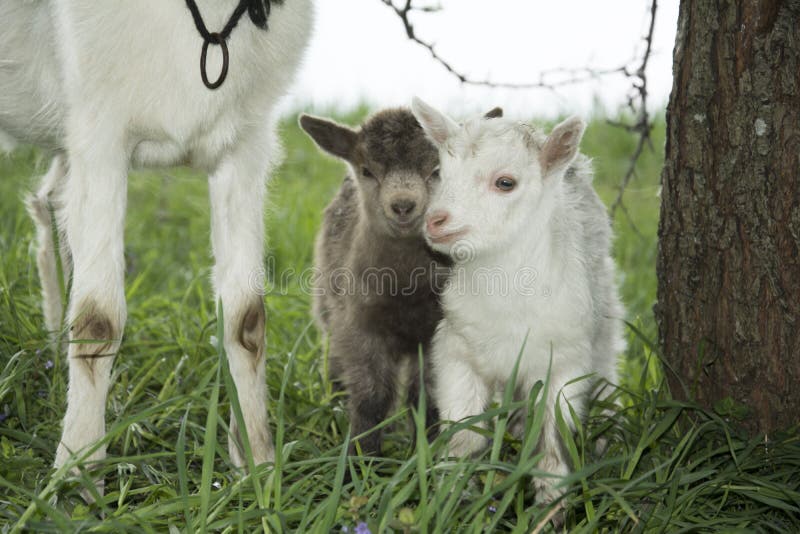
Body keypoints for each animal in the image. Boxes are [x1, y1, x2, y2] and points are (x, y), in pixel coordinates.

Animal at [0, 0, 313, 477]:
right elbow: (98, 318)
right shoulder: (99, 136)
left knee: (50, 203)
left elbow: (246, 317)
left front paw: (257, 468)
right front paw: (77, 474)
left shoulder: (246, 145)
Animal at [299, 109, 446, 455]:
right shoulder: (359, 327)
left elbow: (427, 396)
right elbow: (372, 397)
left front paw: (430, 450)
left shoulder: (437, 330)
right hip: (329, 310)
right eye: (367, 170)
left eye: (436, 170)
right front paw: (362, 455)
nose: (403, 205)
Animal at [411, 98, 626, 505]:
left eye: (505, 182)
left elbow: (553, 450)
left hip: (605, 319)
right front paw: (450, 496)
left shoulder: (565, 362)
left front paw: (550, 509)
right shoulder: (455, 350)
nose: (436, 221)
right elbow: (462, 436)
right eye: (439, 172)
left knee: (606, 374)